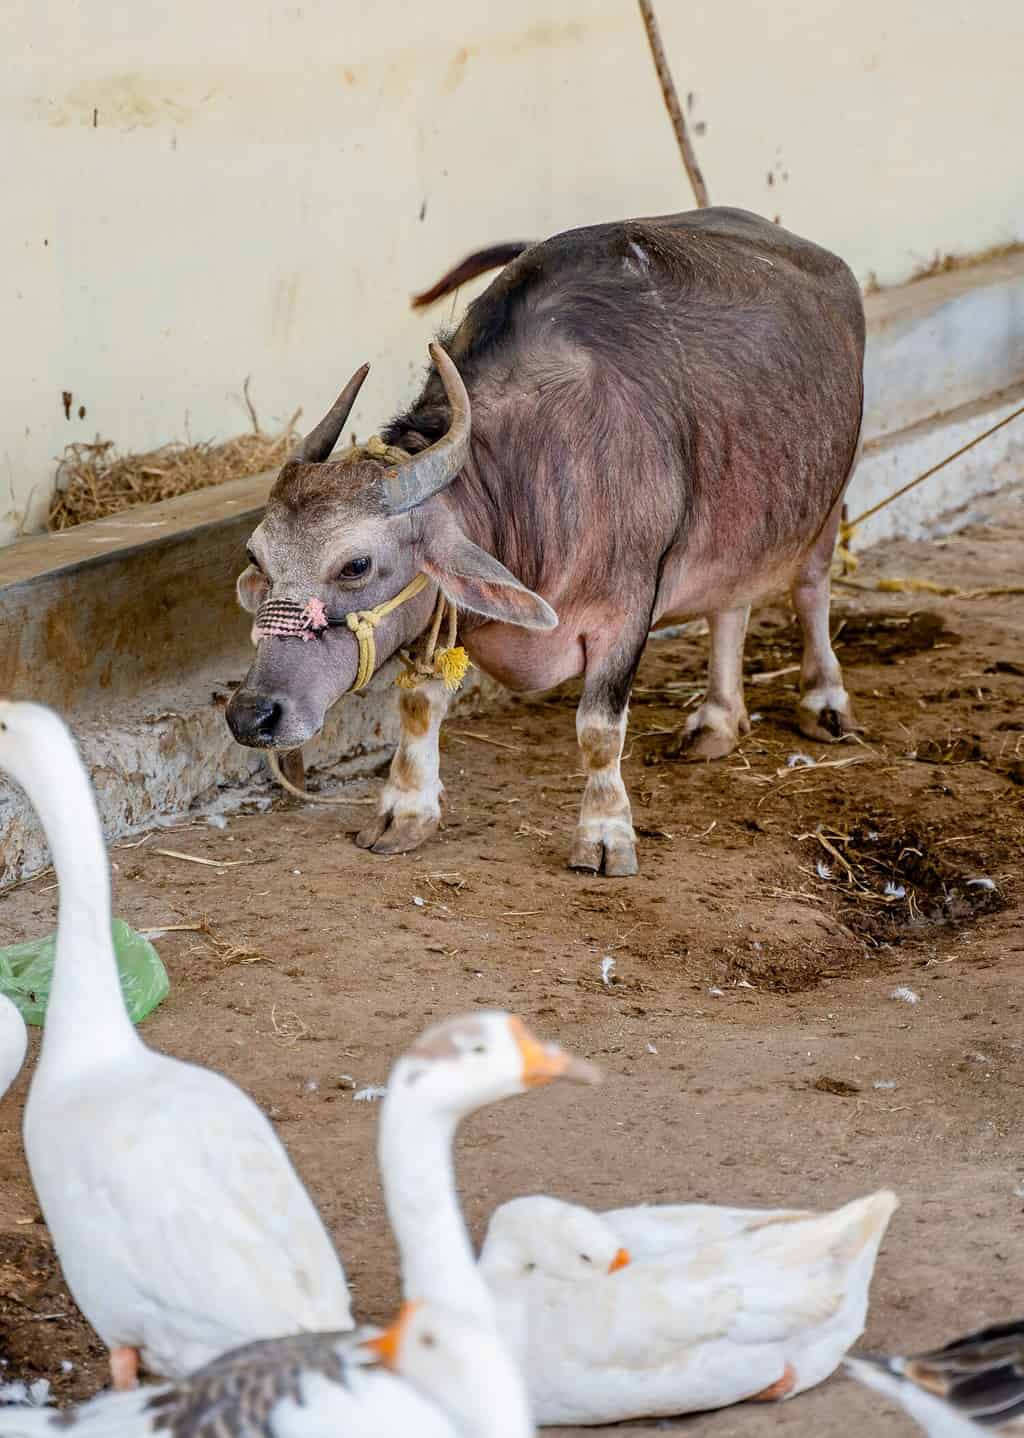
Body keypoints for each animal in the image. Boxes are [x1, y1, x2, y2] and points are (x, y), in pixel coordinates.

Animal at [226, 207, 864, 877]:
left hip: (828, 499)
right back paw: (717, 718)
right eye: (257, 556)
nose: (252, 714)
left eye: (355, 565)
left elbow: (599, 729)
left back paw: (823, 701)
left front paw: (605, 833)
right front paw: (405, 810)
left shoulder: (626, 612)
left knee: (810, 588)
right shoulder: (438, 617)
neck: (530, 474)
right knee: (729, 605)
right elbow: (420, 706)